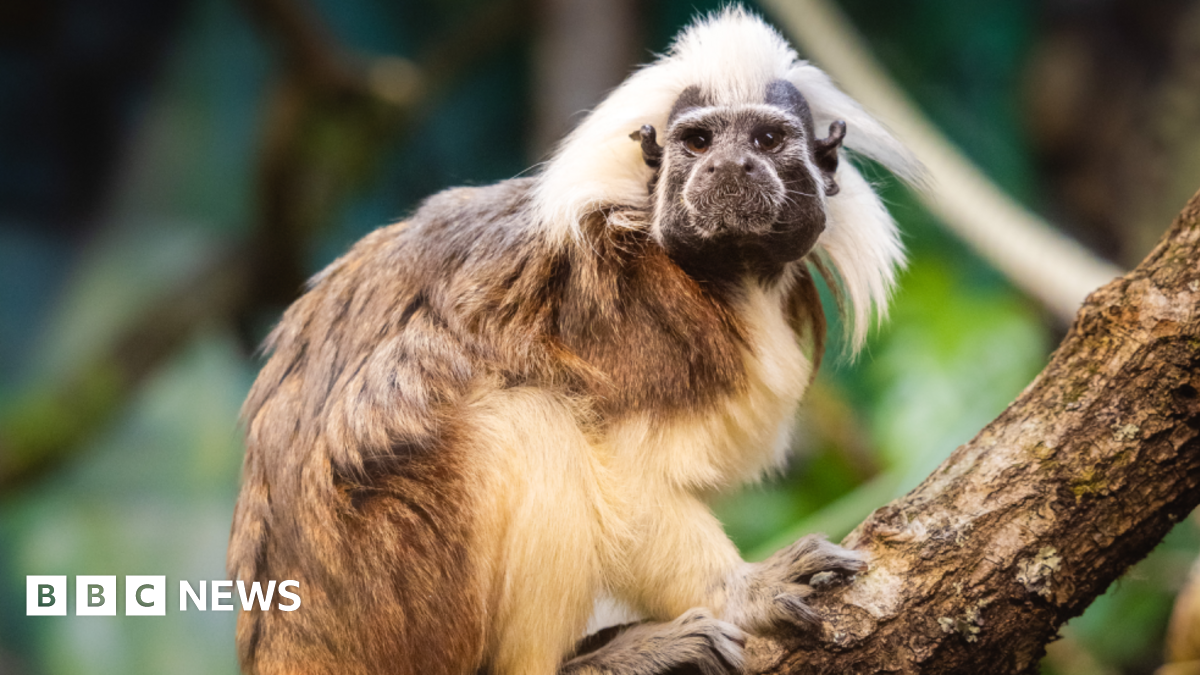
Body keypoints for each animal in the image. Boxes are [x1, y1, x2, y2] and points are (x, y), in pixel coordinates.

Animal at [227, 7, 920, 675]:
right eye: (698, 142)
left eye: (767, 140)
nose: (729, 166)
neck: (729, 277)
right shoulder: (635, 321)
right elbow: (628, 476)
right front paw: (744, 593)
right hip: (403, 594)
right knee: (528, 421)